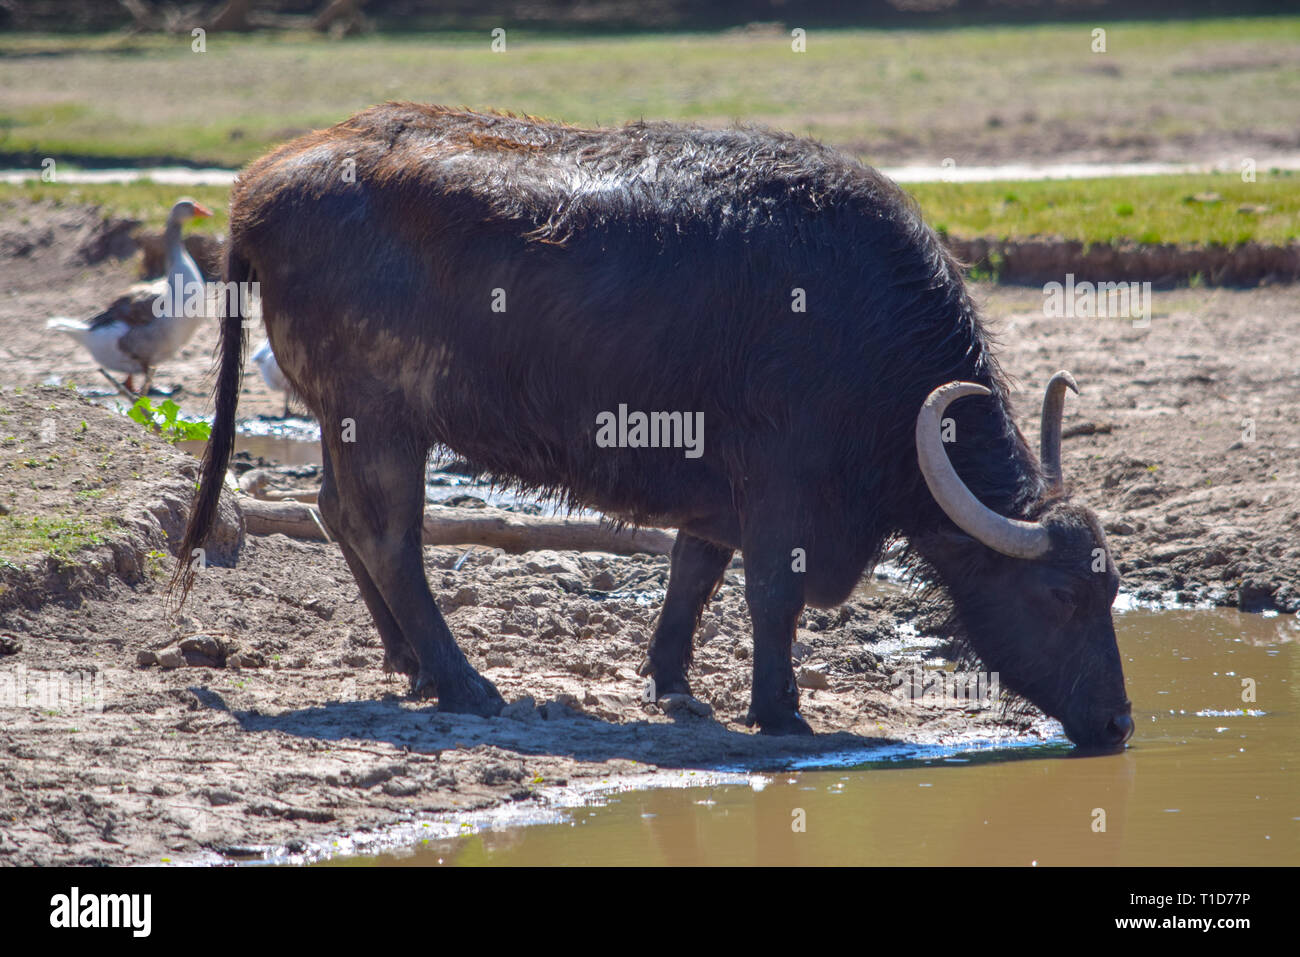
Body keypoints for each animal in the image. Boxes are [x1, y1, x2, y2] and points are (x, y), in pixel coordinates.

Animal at [173, 102, 1133, 749]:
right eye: (1061, 595)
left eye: (1112, 588)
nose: (1122, 722)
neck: (862, 333)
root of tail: (254, 195)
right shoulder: (784, 484)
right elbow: (771, 592)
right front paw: (781, 710)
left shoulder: (721, 491)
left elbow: (693, 572)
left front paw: (673, 683)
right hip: (380, 416)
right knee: (388, 535)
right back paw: (462, 681)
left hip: (347, 421)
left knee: (338, 514)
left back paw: (407, 661)